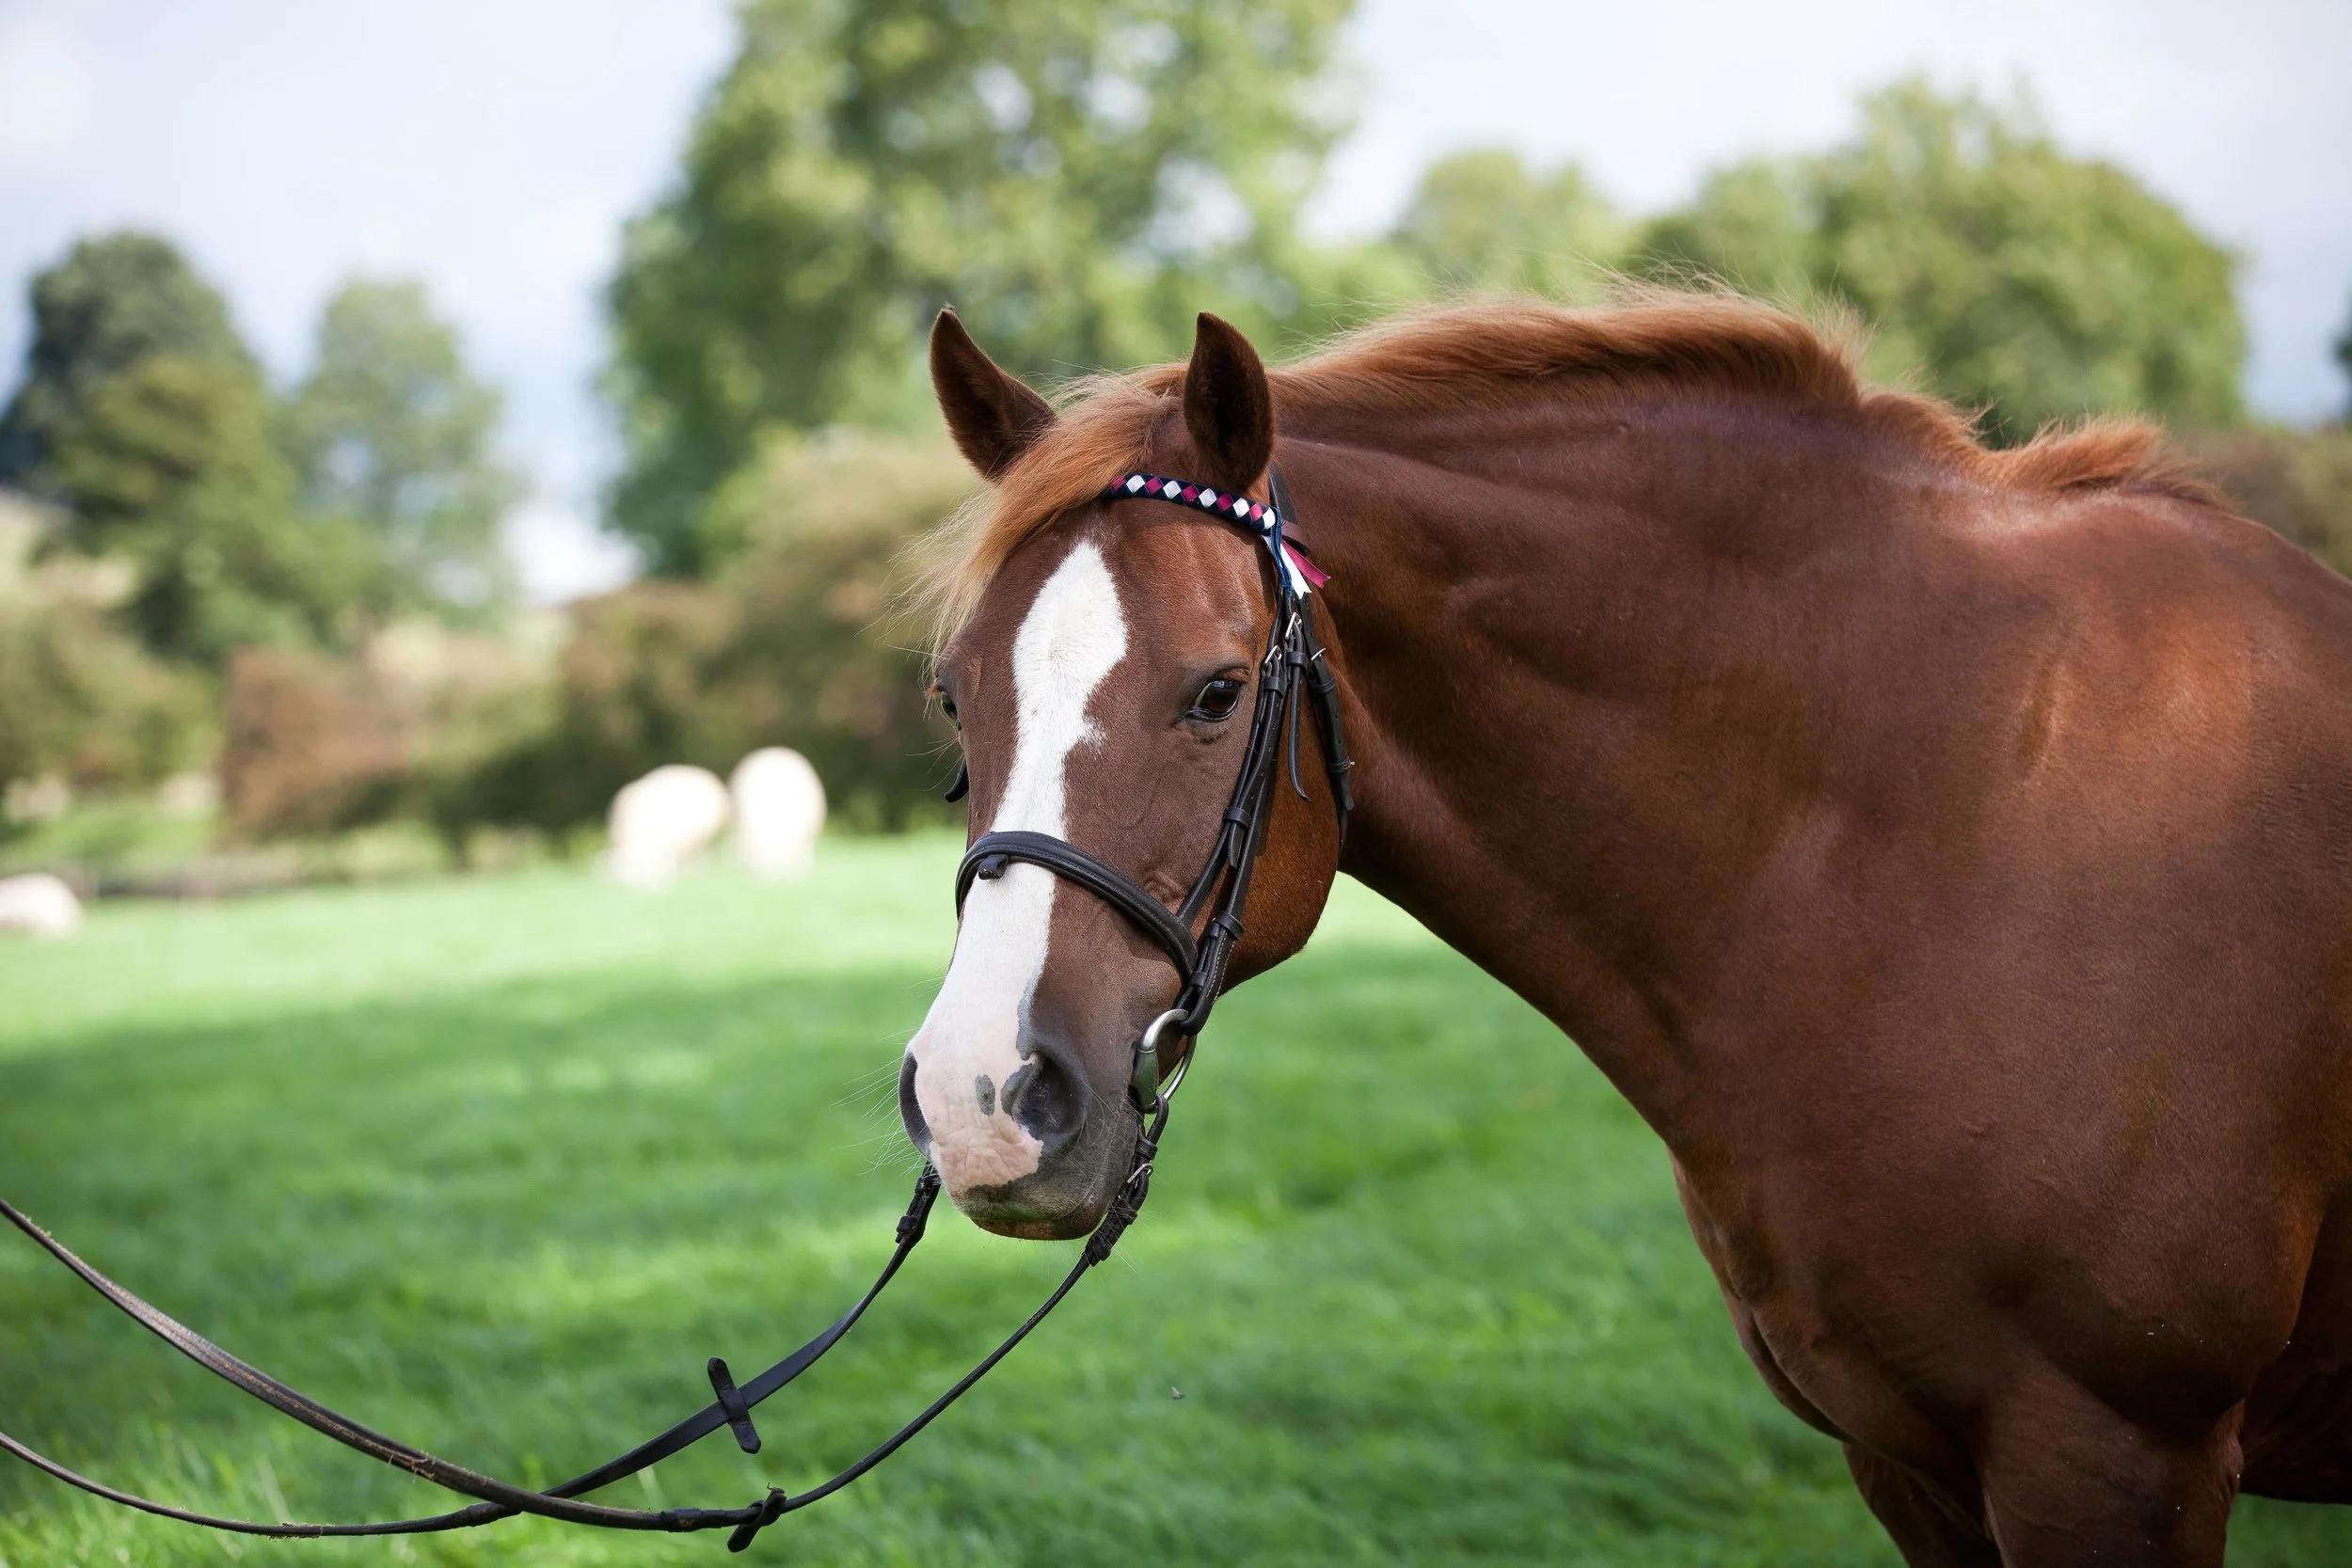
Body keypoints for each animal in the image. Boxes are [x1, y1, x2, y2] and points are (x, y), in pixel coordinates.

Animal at [897, 293, 2352, 1565]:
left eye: (1213, 691)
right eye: (956, 697)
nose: (982, 1094)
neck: (1949, 811)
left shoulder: (2110, 1456)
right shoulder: (1908, 1457)